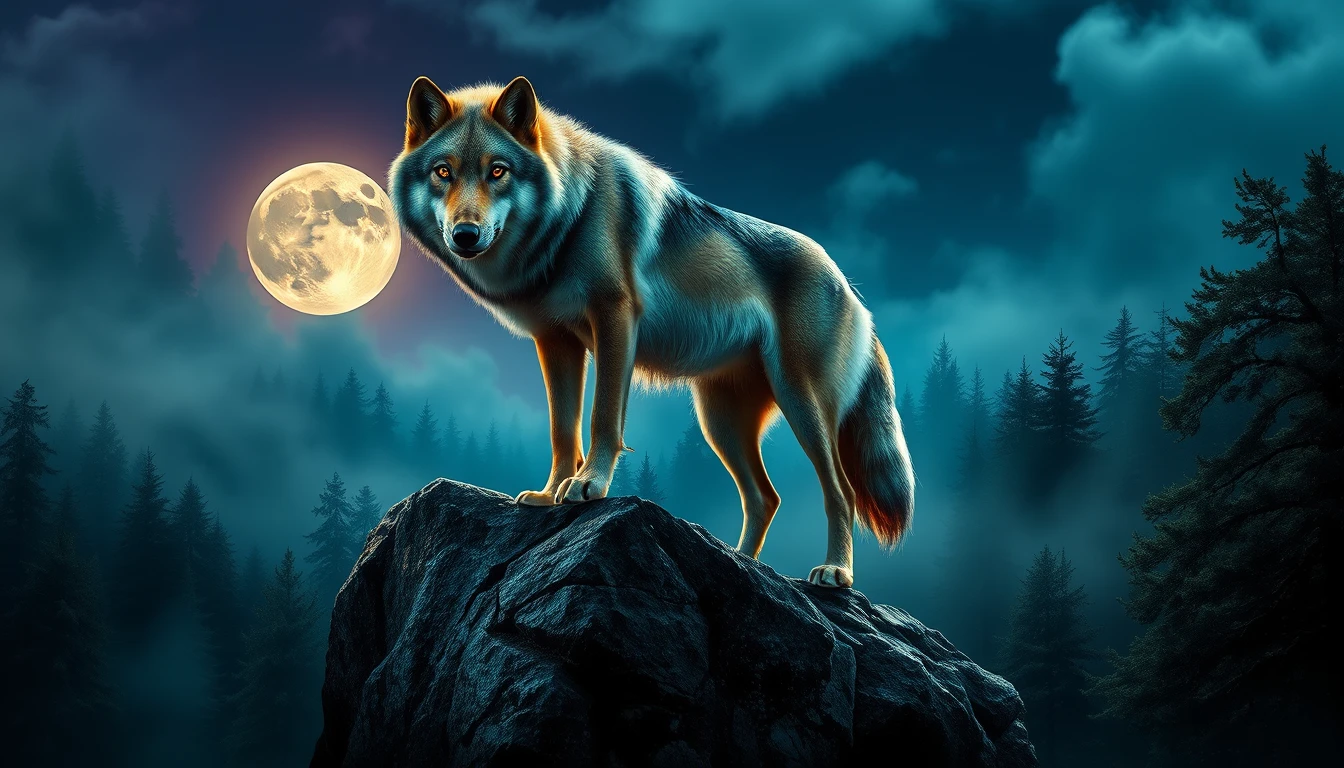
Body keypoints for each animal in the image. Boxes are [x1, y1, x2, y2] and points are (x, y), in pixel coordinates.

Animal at [389, 76, 915, 587]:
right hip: (719, 422)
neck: (572, 213)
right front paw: (549, 492)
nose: (465, 235)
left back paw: (836, 573)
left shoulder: (615, 318)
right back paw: (742, 565)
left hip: (799, 402)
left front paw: (588, 486)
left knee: (840, 492)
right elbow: (563, 428)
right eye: (443, 172)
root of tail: (850, 289)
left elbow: (602, 418)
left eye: (497, 171)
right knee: (766, 497)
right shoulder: (555, 342)